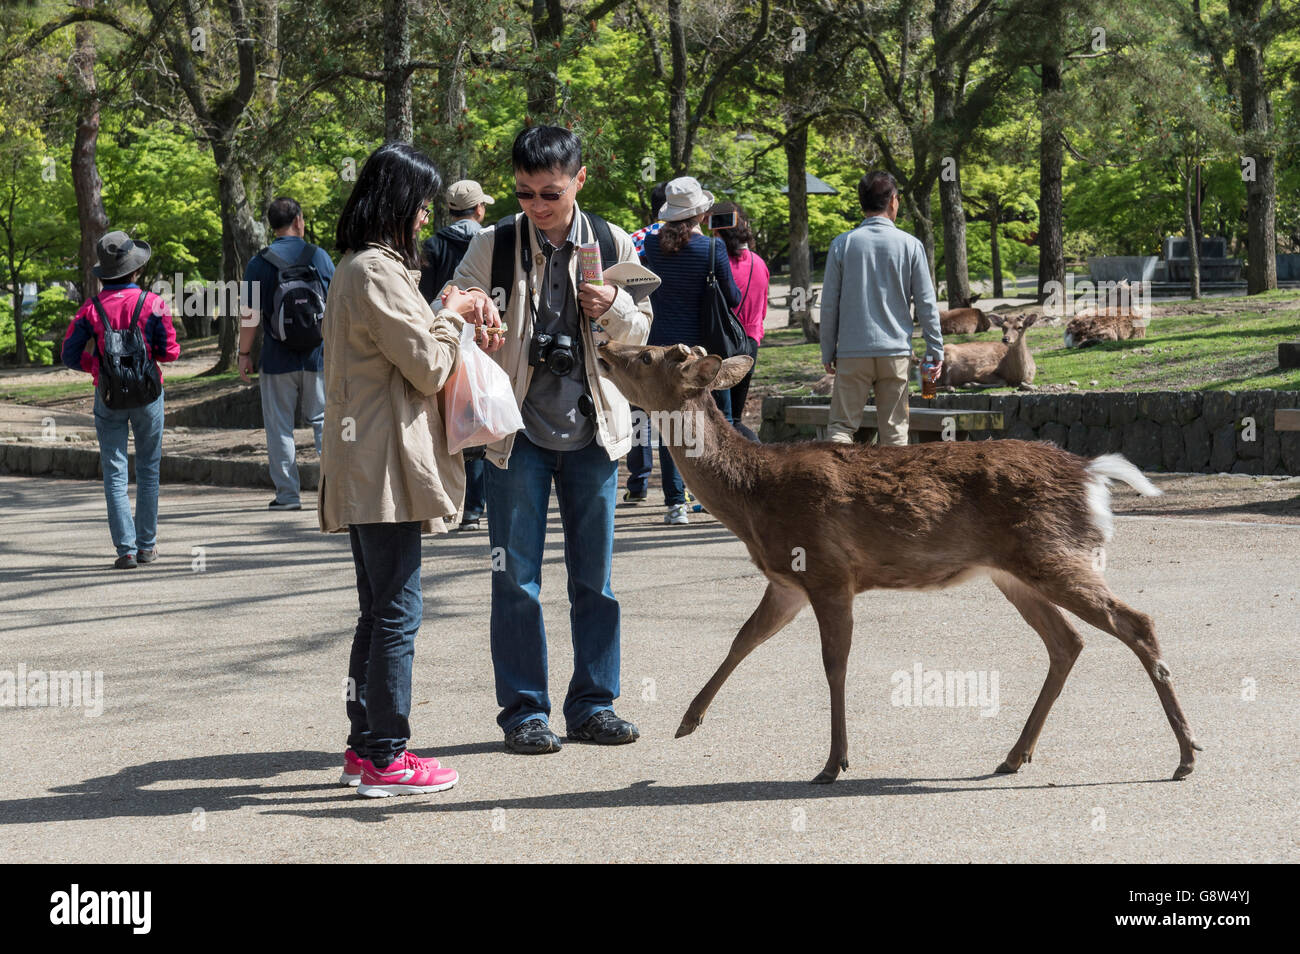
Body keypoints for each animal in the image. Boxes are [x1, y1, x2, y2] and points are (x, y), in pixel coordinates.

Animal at [595, 339, 1202, 784]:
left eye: (647, 355)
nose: (602, 343)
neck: (751, 498)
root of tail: (1094, 475)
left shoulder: (828, 571)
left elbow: (833, 664)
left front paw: (833, 763)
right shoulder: (787, 581)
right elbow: (743, 639)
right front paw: (688, 721)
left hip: (1054, 552)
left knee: (1135, 621)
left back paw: (1186, 754)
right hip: (1016, 572)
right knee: (1067, 642)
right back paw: (1014, 755)